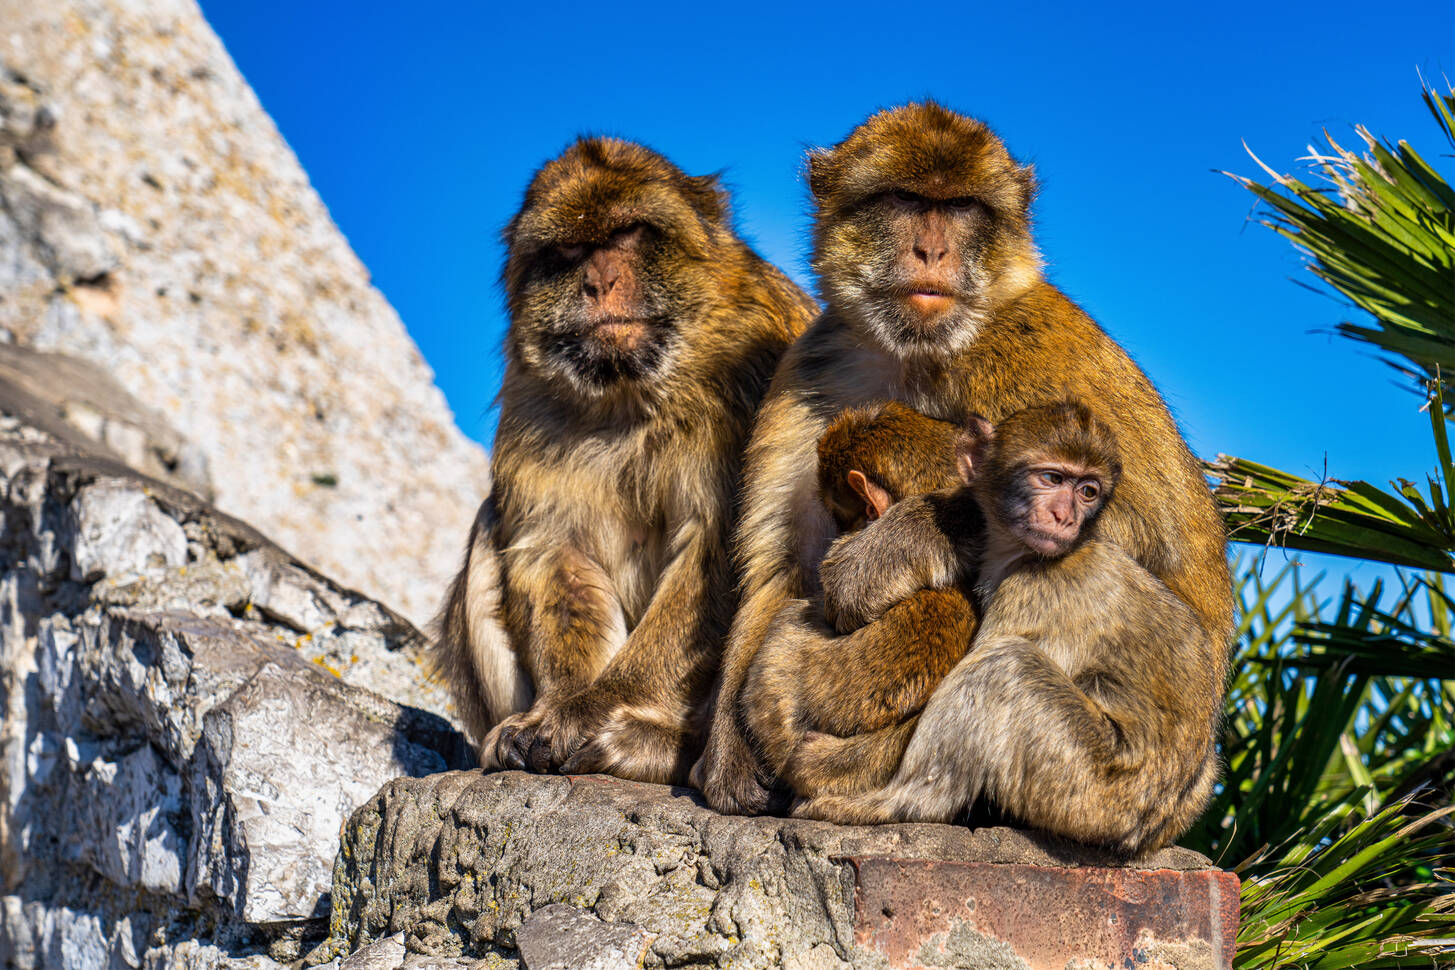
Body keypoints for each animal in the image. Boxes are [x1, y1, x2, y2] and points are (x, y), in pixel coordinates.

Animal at [436, 137, 817, 784]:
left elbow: (717, 552)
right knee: (493, 522)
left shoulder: (752, 372)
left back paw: (658, 748)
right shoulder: (531, 399)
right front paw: (560, 706)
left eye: (629, 233)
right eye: (571, 249)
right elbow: (554, 550)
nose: (601, 281)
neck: (630, 391)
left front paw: (593, 709)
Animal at [792, 402, 1220, 856]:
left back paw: (899, 805)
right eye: (1052, 479)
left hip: (1090, 789)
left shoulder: (1033, 591)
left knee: (1003, 667)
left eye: (1088, 491)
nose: (1065, 516)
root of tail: (1147, 832)